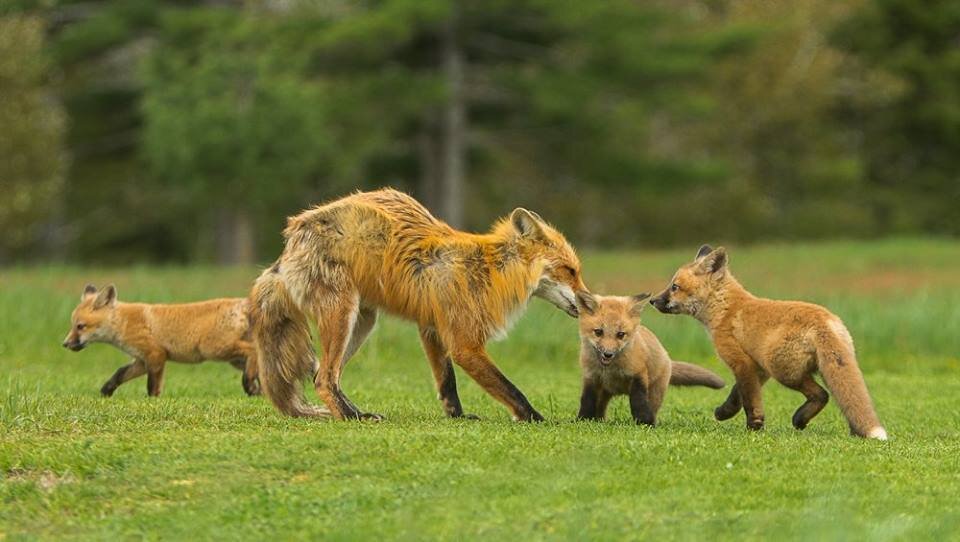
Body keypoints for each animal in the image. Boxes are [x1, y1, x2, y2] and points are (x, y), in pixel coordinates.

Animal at [62, 284, 261, 397]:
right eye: (73, 325)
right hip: (234, 360)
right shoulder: (141, 360)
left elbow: (152, 385)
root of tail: (244, 303)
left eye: (80, 326)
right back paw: (256, 390)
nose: (65, 344)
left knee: (252, 351)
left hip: (214, 349)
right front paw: (106, 391)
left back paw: (249, 385)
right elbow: (119, 373)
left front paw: (153, 401)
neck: (124, 323)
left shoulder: (156, 354)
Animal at [250, 188, 588, 421]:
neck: (490, 270)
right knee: (323, 378)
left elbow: (447, 382)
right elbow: (511, 389)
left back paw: (349, 412)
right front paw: (537, 419)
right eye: (570, 271)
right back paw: (353, 417)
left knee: (321, 374)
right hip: (342, 313)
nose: (588, 302)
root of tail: (290, 240)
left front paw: (457, 417)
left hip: (362, 321)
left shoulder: (432, 325)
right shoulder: (464, 343)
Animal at [575, 291, 724, 425]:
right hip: (604, 391)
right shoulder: (591, 377)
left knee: (652, 406)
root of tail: (668, 359)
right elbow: (587, 401)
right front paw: (583, 420)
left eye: (621, 334)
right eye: (598, 332)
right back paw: (598, 420)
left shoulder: (638, 374)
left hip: (656, 392)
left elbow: (638, 401)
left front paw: (644, 422)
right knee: (600, 408)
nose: (608, 354)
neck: (611, 370)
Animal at [650, 245, 887, 440]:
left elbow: (750, 400)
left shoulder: (741, 362)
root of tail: (825, 322)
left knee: (822, 395)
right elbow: (736, 395)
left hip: (783, 371)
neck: (726, 310)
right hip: (820, 367)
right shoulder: (758, 368)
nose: (652, 300)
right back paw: (855, 431)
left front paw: (754, 426)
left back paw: (800, 419)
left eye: (674, 287)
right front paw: (724, 412)